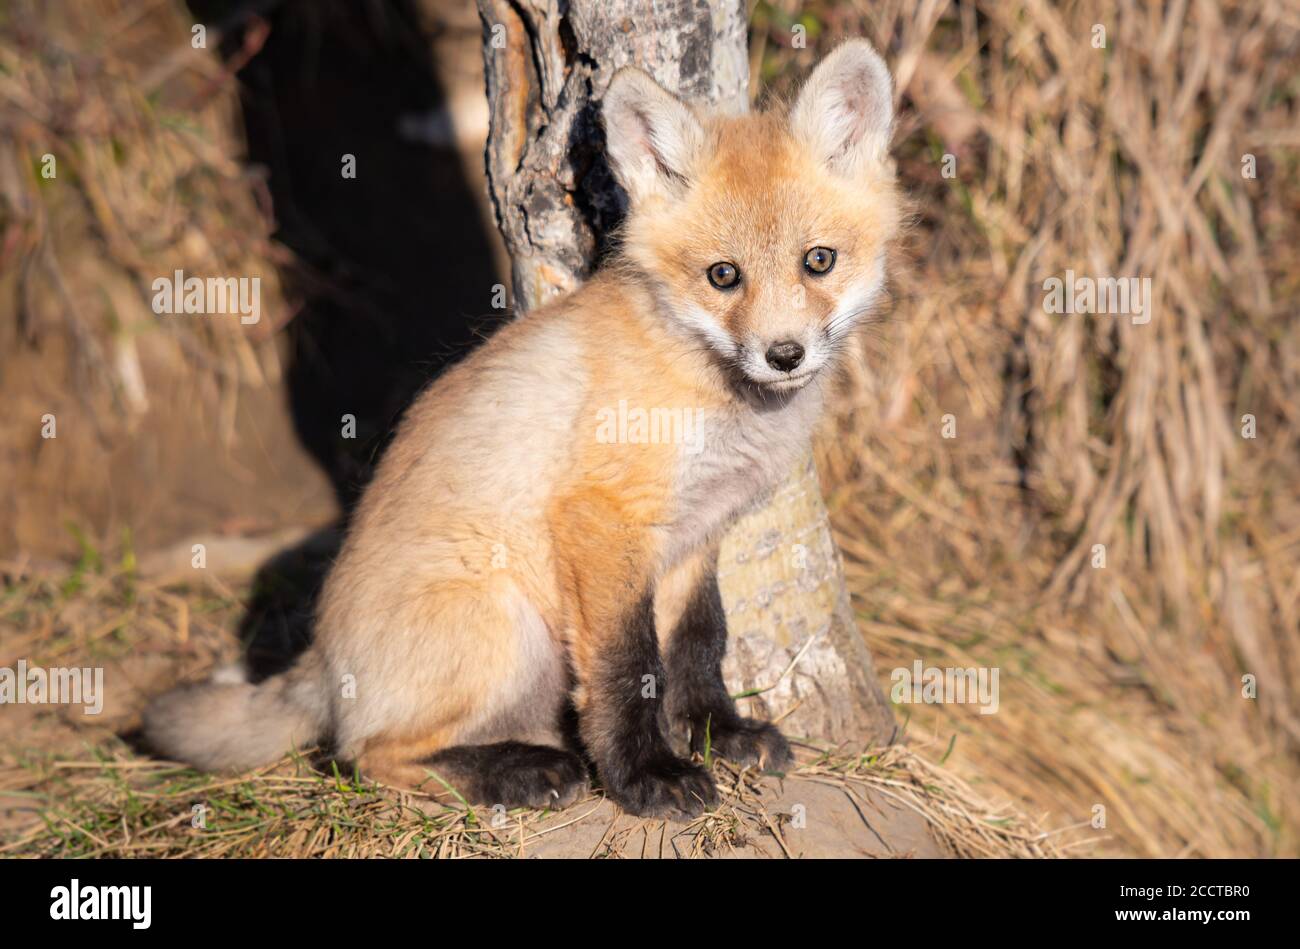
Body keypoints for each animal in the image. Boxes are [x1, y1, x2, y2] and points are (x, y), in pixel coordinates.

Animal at [144, 39, 901, 818]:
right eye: (724, 275)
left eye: (818, 261)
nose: (785, 355)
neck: (710, 391)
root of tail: (322, 660)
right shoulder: (602, 519)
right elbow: (628, 667)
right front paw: (647, 776)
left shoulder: (698, 535)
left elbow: (699, 643)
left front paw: (721, 733)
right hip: (506, 626)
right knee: (362, 754)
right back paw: (520, 772)